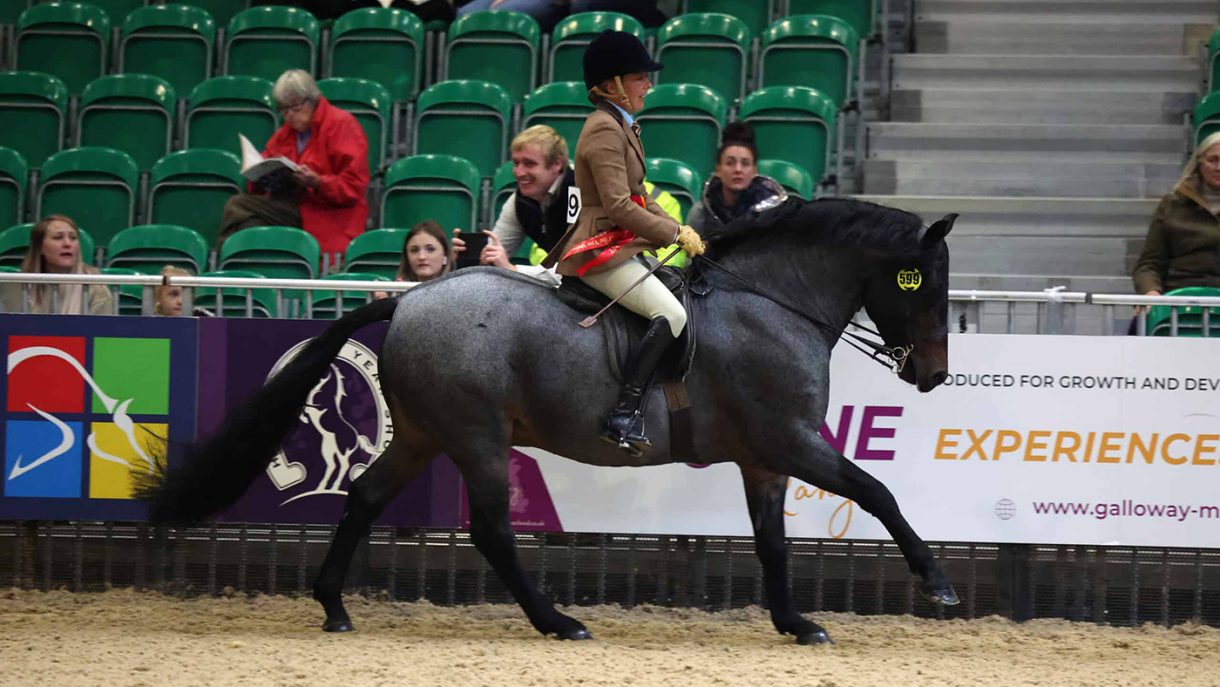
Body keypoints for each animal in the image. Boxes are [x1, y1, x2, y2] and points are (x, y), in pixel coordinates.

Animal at [138, 197, 959, 645]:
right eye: (921, 281)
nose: (932, 375)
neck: (770, 303)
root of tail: (409, 299)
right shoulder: (791, 442)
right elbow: (880, 493)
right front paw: (937, 584)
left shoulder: (766, 458)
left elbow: (774, 544)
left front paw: (796, 623)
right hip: (478, 438)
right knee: (492, 531)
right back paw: (557, 620)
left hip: (426, 435)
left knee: (366, 498)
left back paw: (336, 605)